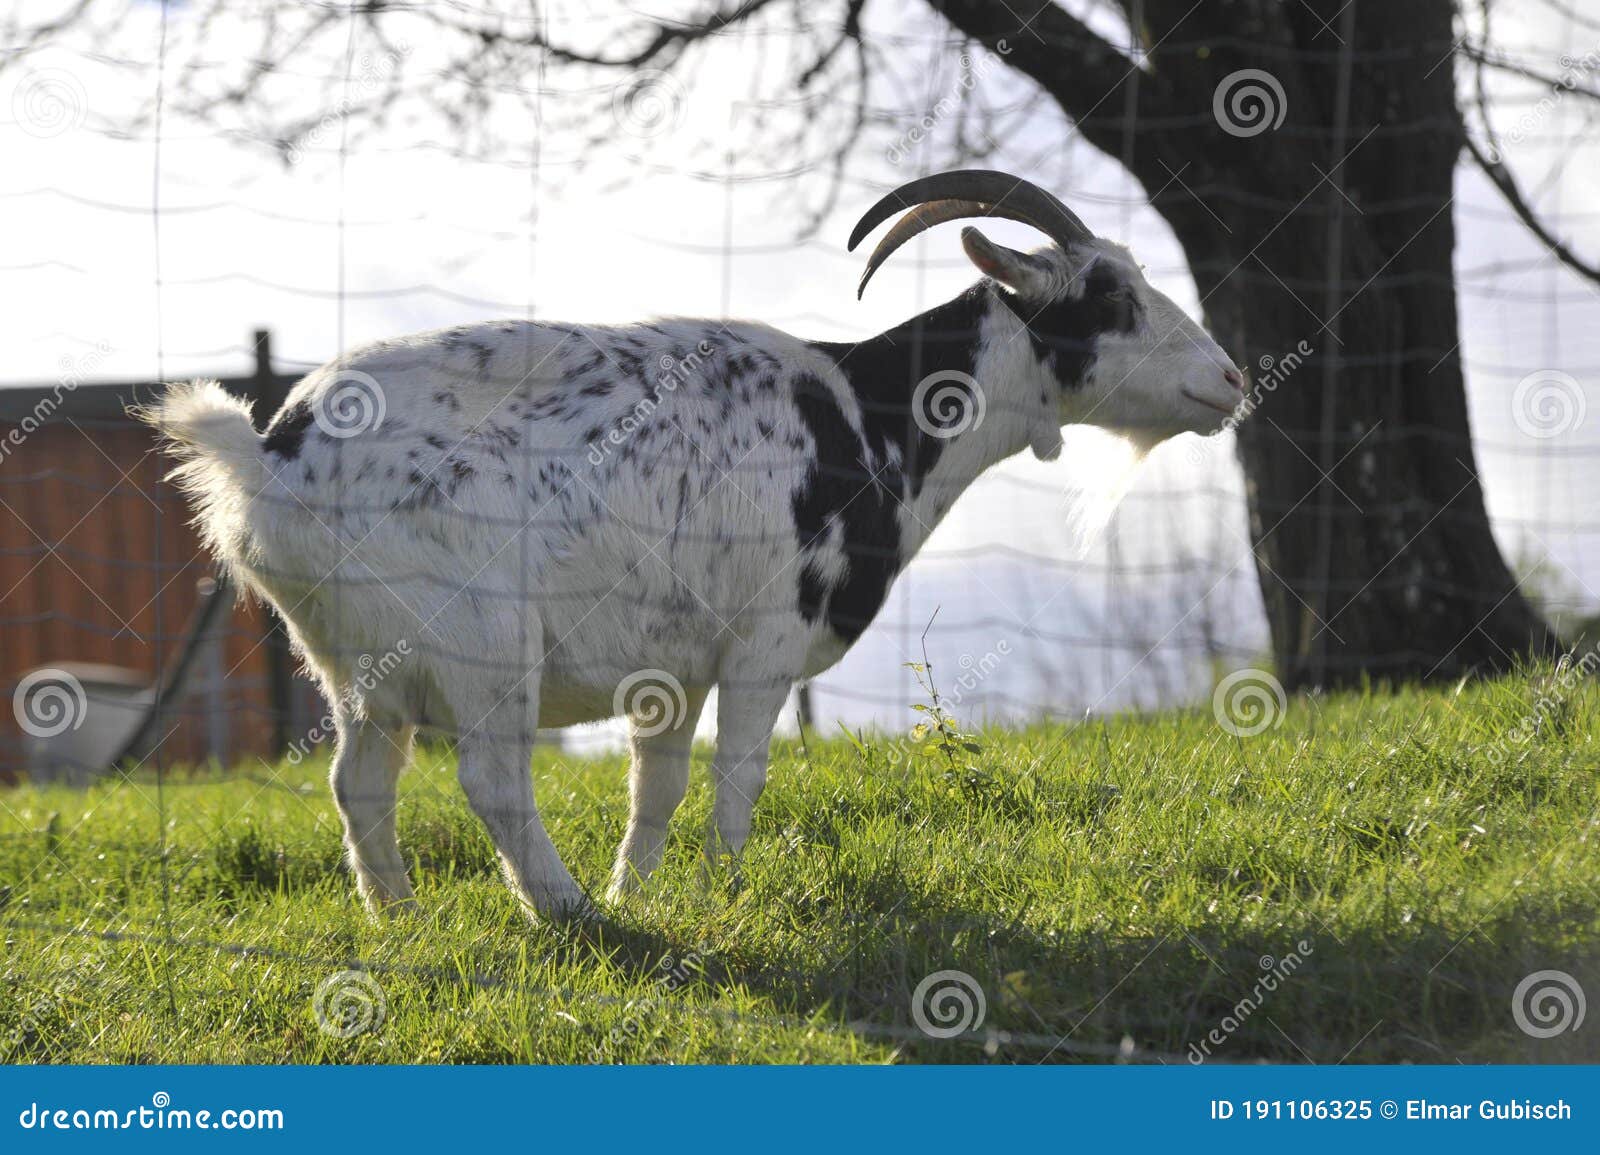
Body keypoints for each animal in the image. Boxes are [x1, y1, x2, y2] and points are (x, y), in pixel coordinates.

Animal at [139, 170, 1245, 921]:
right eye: (1111, 297)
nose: (1229, 380)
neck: (865, 415)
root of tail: (270, 452)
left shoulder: (668, 665)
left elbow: (658, 786)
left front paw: (643, 890)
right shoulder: (764, 640)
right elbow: (738, 775)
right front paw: (724, 894)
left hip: (359, 663)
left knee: (360, 781)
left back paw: (403, 921)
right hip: (482, 639)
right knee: (492, 779)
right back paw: (565, 910)